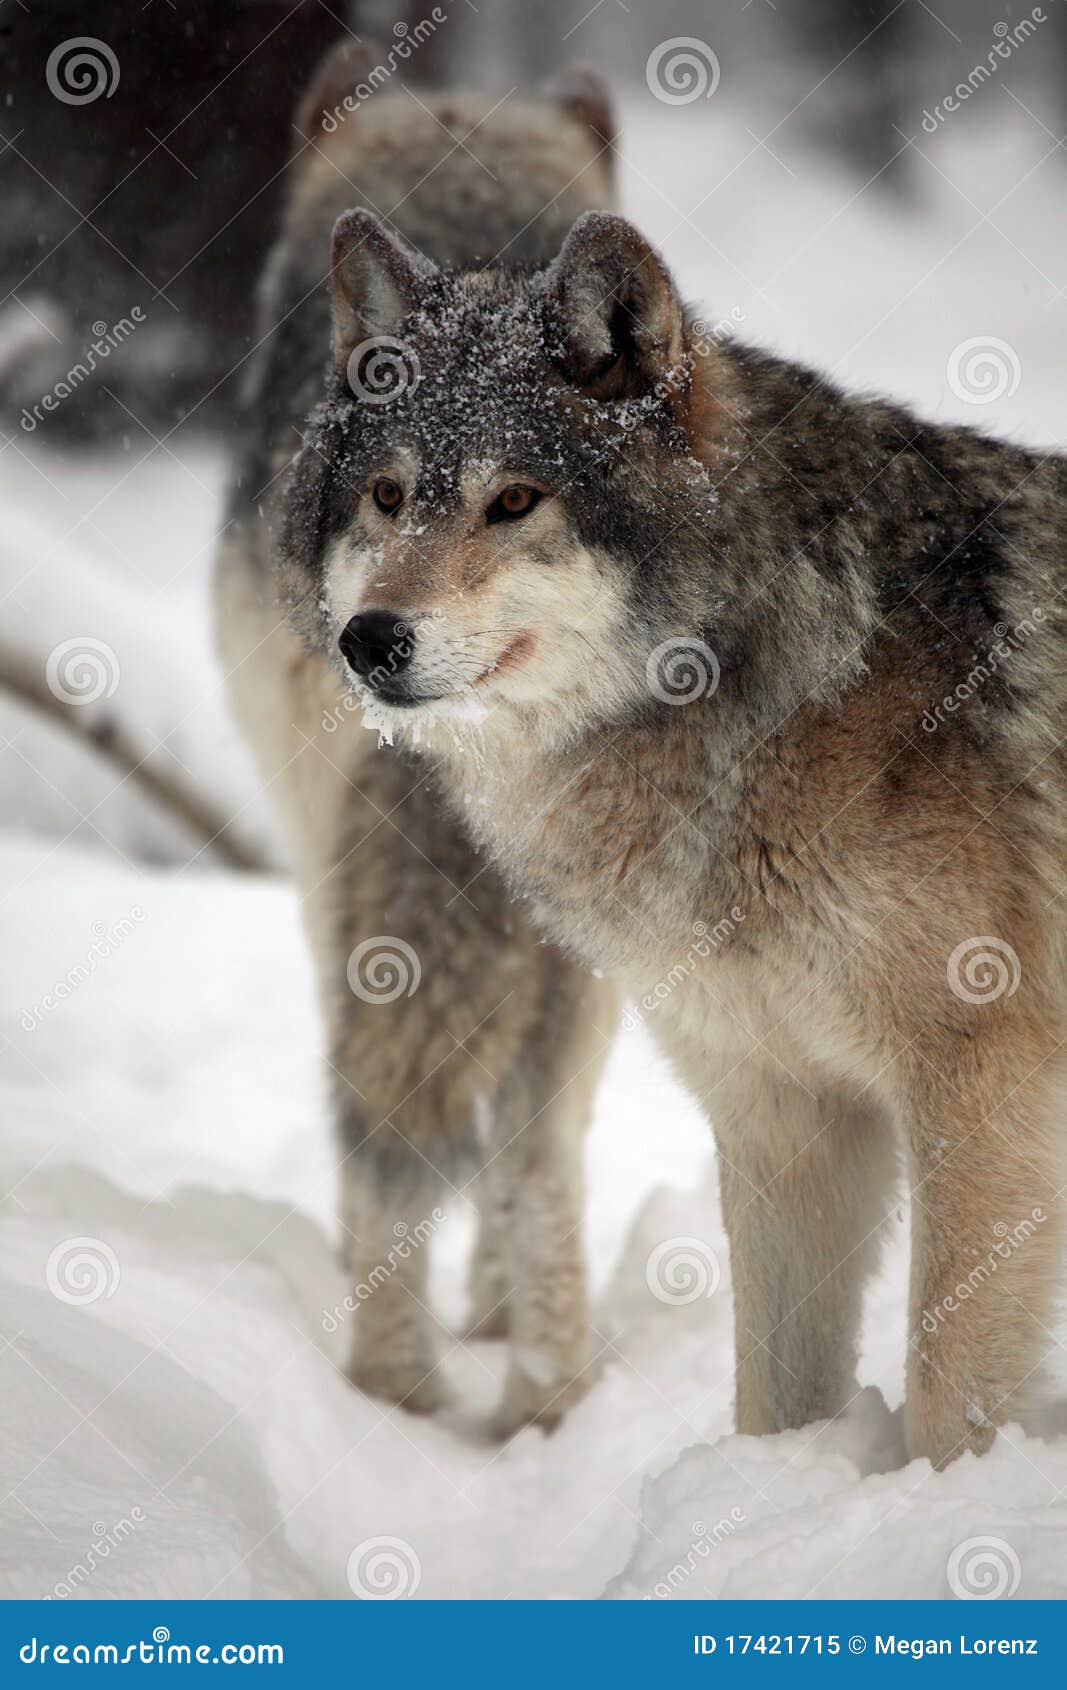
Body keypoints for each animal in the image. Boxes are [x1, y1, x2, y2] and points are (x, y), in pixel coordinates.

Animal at [278, 131, 1067, 1469]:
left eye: (513, 500)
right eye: (386, 496)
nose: (370, 638)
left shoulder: (987, 1097)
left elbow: (945, 1403)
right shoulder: (781, 1118)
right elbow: (773, 1401)